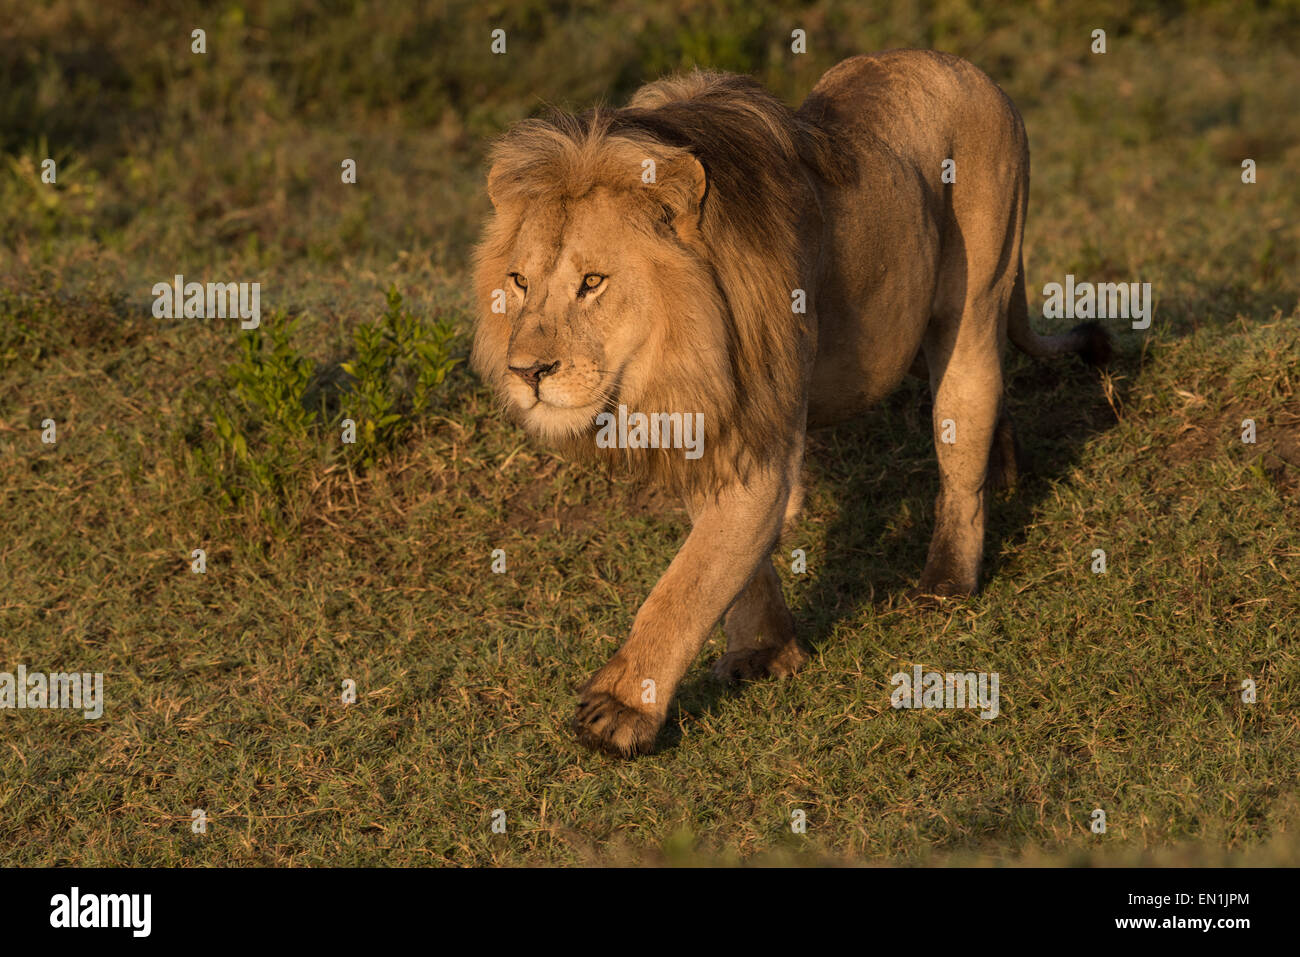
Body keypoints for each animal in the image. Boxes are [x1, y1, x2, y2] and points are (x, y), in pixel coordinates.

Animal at [471, 50, 1110, 757]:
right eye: (518, 282)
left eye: (592, 283)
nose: (527, 372)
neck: (686, 348)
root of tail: (969, 69)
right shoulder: (714, 425)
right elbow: (731, 563)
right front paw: (764, 651)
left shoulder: (762, 439)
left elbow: (685, 584)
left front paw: (620, 708)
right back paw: (1008, 465)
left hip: (970, 301)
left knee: (962, 431)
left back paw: (948, 582)